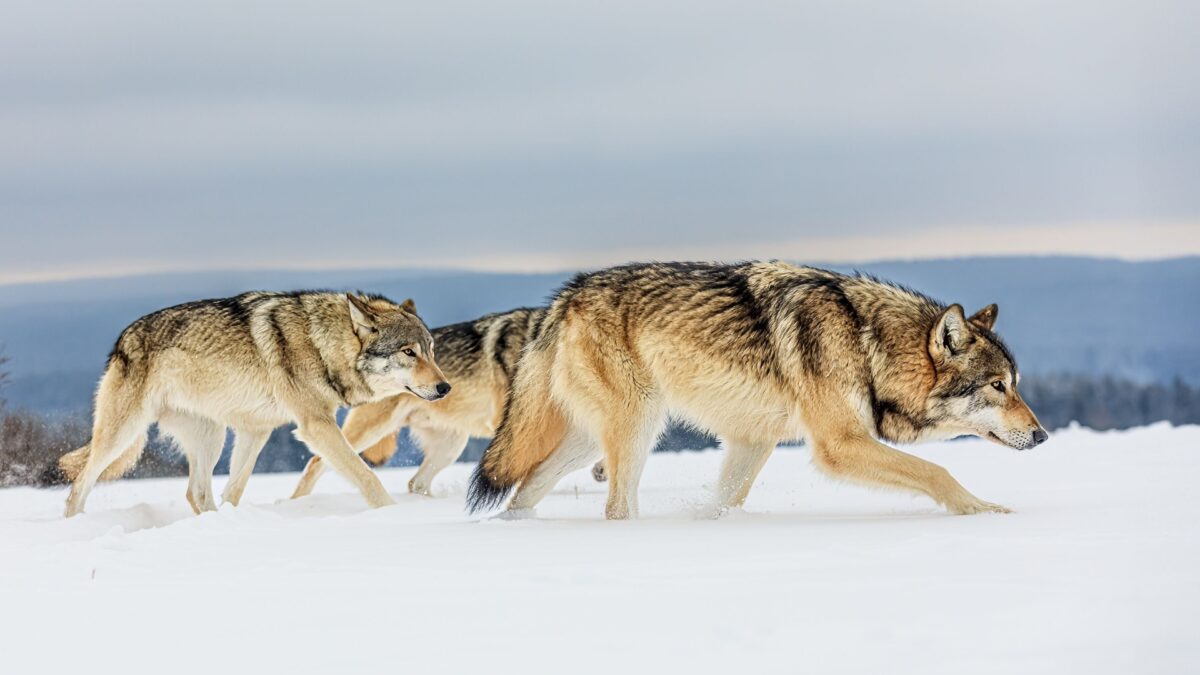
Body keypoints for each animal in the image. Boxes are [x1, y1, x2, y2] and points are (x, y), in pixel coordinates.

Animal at [57, 291, 449, 517]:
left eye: (430, 350)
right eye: (408, 352)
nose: (445, 387)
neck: (323, 344)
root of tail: (122, 339)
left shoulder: (256, 429)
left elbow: (235, 489)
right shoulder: (316, 426)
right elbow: (366, 475)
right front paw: (393, 516)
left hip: (212, 437)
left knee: (197, 492)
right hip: (122, 434)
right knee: (79, 486)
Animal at [467, 261, 1047, 520]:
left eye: (1016, 385)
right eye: (998, 386)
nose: (1042, 436)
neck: (868, 342)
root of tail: (564, 296)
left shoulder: (754, 441)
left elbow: (725, 501)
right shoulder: (839, 445)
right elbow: (937, 470)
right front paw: (984, 511)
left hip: (590, 440)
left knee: (524, 490)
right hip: (637, 428)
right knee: (615, 507)